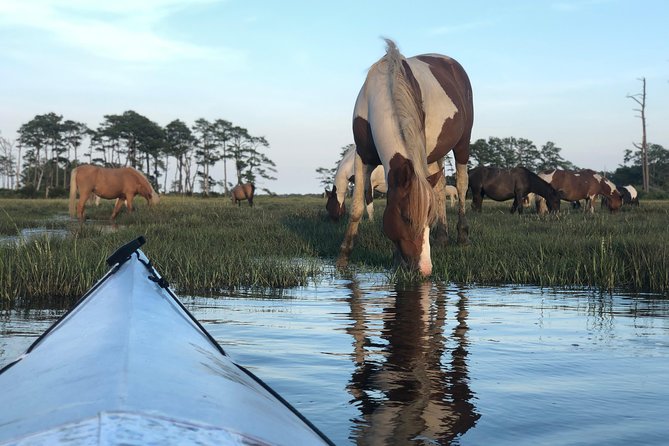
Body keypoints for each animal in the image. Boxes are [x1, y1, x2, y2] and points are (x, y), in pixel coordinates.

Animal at [338, 39, 474, 276]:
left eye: (426, 219)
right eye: (407, 218)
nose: (426, 269)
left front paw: (396, 260)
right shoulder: (363, 157)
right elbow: (356, 208)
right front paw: (344, 258)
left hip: (462, 143)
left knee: (462, 184)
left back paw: (462, 236)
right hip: (435, 156)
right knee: (439, 189)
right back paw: (442, 238)